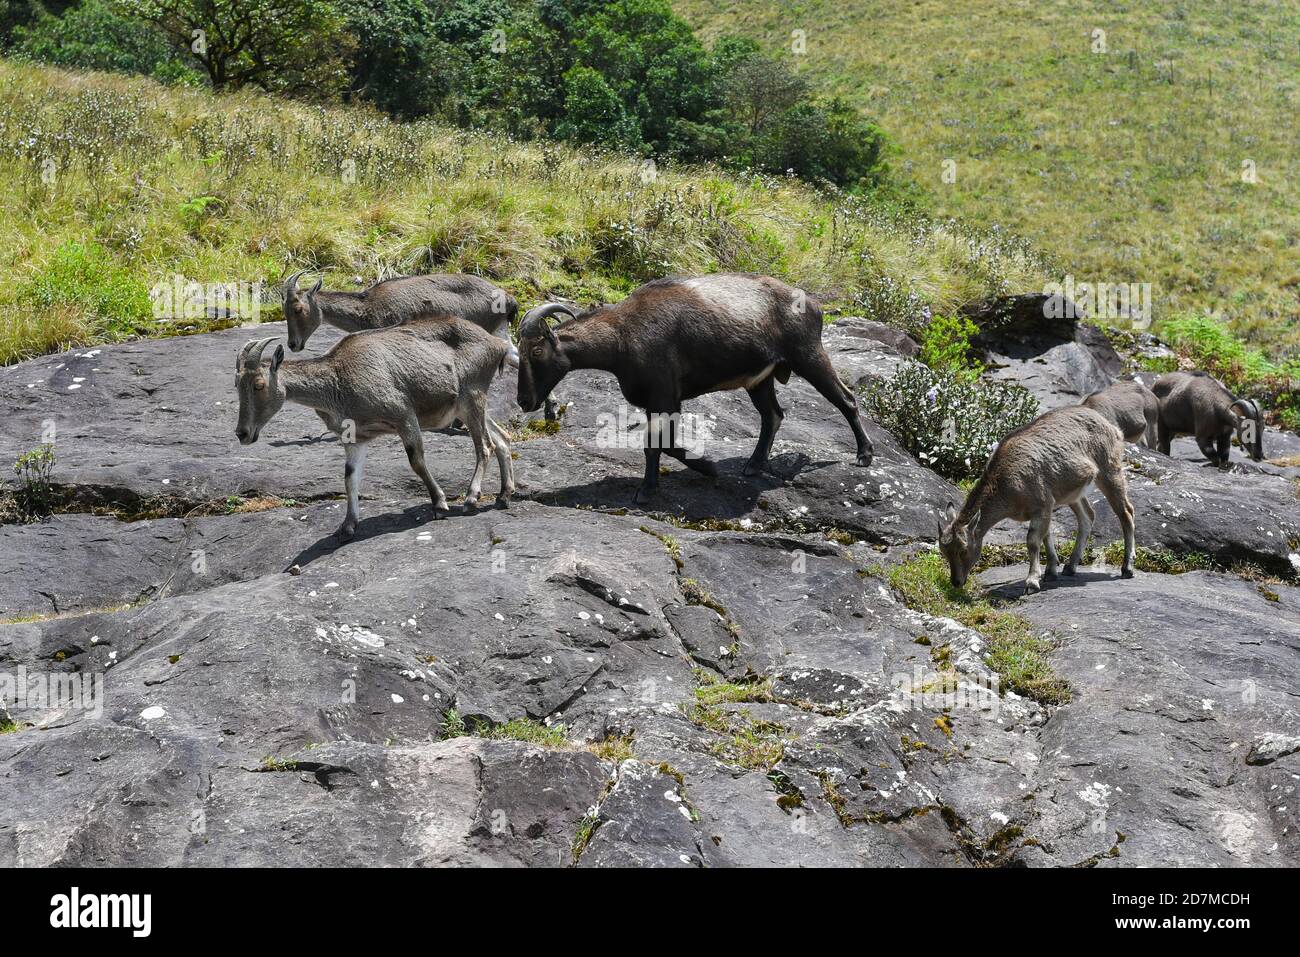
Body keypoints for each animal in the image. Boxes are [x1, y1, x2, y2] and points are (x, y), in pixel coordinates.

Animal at [235, 317, 514, 539]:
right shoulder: (355, 438)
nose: (242, 433)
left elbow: (416, 461)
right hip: (467, 407)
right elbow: (350, 477)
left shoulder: (404, 415)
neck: (337, 380)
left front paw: (439, 503)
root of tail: (497, 344)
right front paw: (348, 525)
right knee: (503, 438)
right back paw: (504, 495)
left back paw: (471, 498)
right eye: (237, 385)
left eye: (259, 384)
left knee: (485, 445)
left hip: (472, 397)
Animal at [515, 273, 874, 502]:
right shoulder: (656, 402)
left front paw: (693, 473)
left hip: (808, 356)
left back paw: (865, 455)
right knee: (773, 415)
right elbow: (660, 445)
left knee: (846, 400)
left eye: (536, 351)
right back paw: (754, 465)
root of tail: (814, 305)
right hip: (761, 379)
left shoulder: (665, 396)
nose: (523, 401)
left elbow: (661, 445)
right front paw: (666, 481)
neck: (622, 337)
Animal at [936, 406, 1136, 595]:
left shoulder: (1042, 504)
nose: (956, 582)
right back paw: (1070, 566)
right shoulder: (1046, 506)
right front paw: (1051, 571)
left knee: (1126, 512)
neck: (1006, 484)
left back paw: (1127, 568)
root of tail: (1112, 427)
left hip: (1109, 470)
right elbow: (1046, 535)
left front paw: (1032, 582)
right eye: (943, 552)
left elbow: (1032, 541)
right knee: (1088, 515)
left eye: (964, 550)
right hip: (1072, 493)